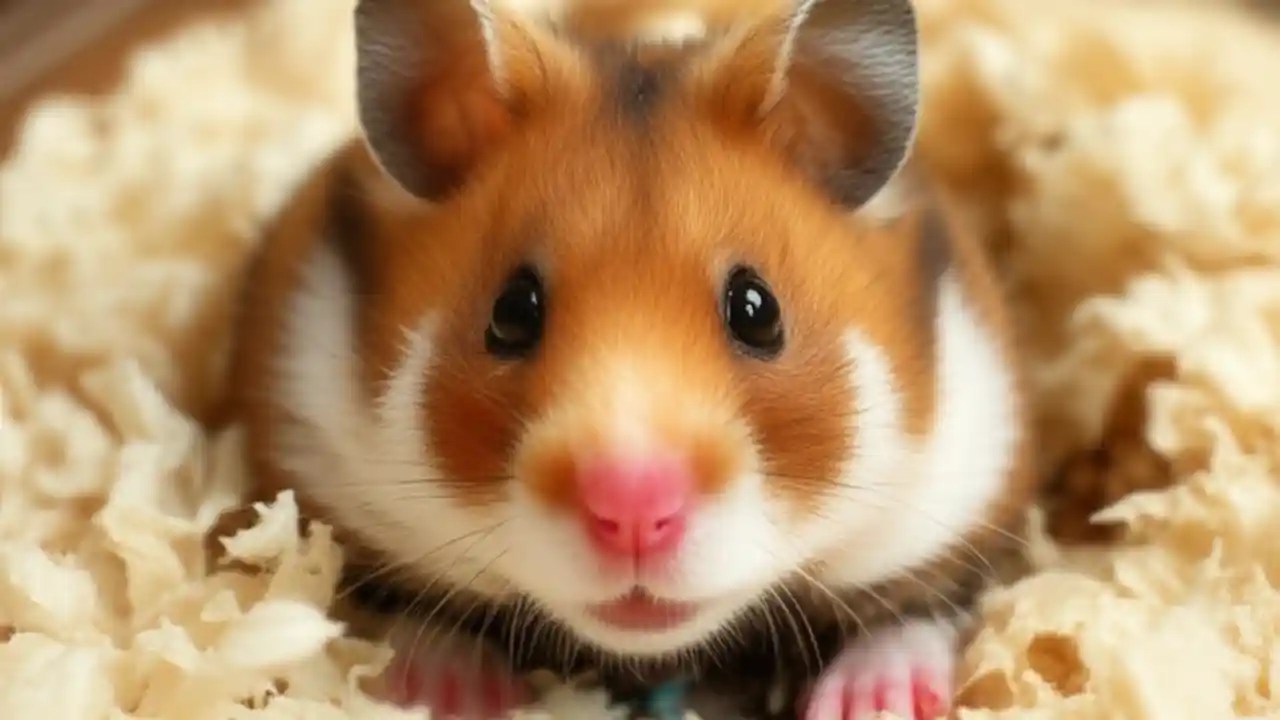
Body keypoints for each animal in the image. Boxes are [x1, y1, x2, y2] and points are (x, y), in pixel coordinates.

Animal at [216, 0, 1038, 718]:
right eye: (511, 313)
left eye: (757, 310)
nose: (633, 510)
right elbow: (410, 609)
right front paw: (450, 695)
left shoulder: (958, 495)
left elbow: (915, 610)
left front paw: (873, 704)